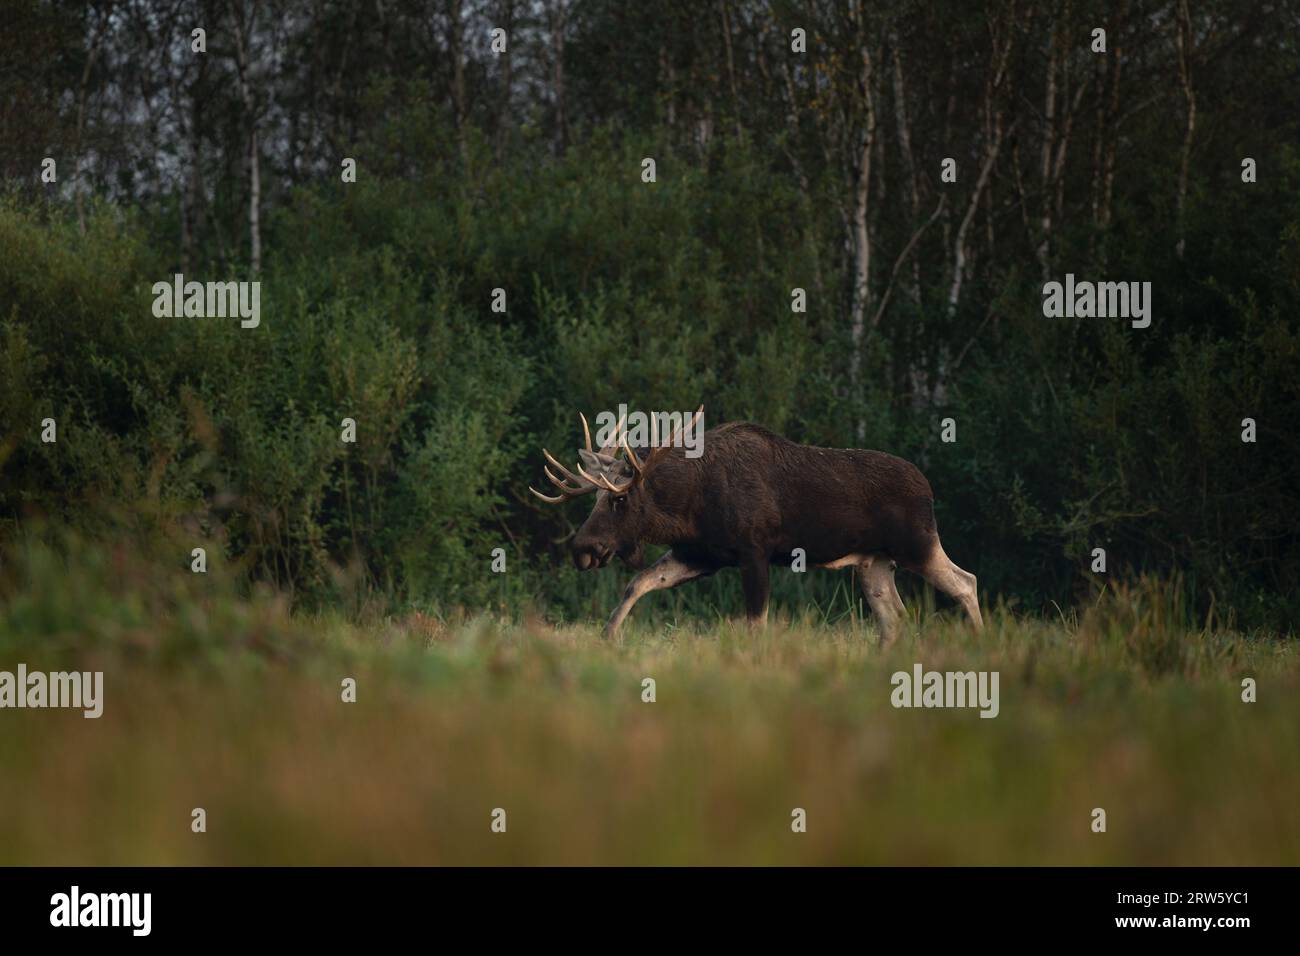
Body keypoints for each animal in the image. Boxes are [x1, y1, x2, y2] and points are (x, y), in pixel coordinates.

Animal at [529, 408, 983, 642]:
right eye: (595, 499)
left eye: (619, 498)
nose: (582, 548)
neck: (688, 507)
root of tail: (928, 489)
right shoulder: (701, 554)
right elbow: (637, 584)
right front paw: (608, 636)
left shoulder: (754, 551)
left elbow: (756, 622)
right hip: (872, 563)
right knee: (895, 618)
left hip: (917, 544)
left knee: (966, 582)